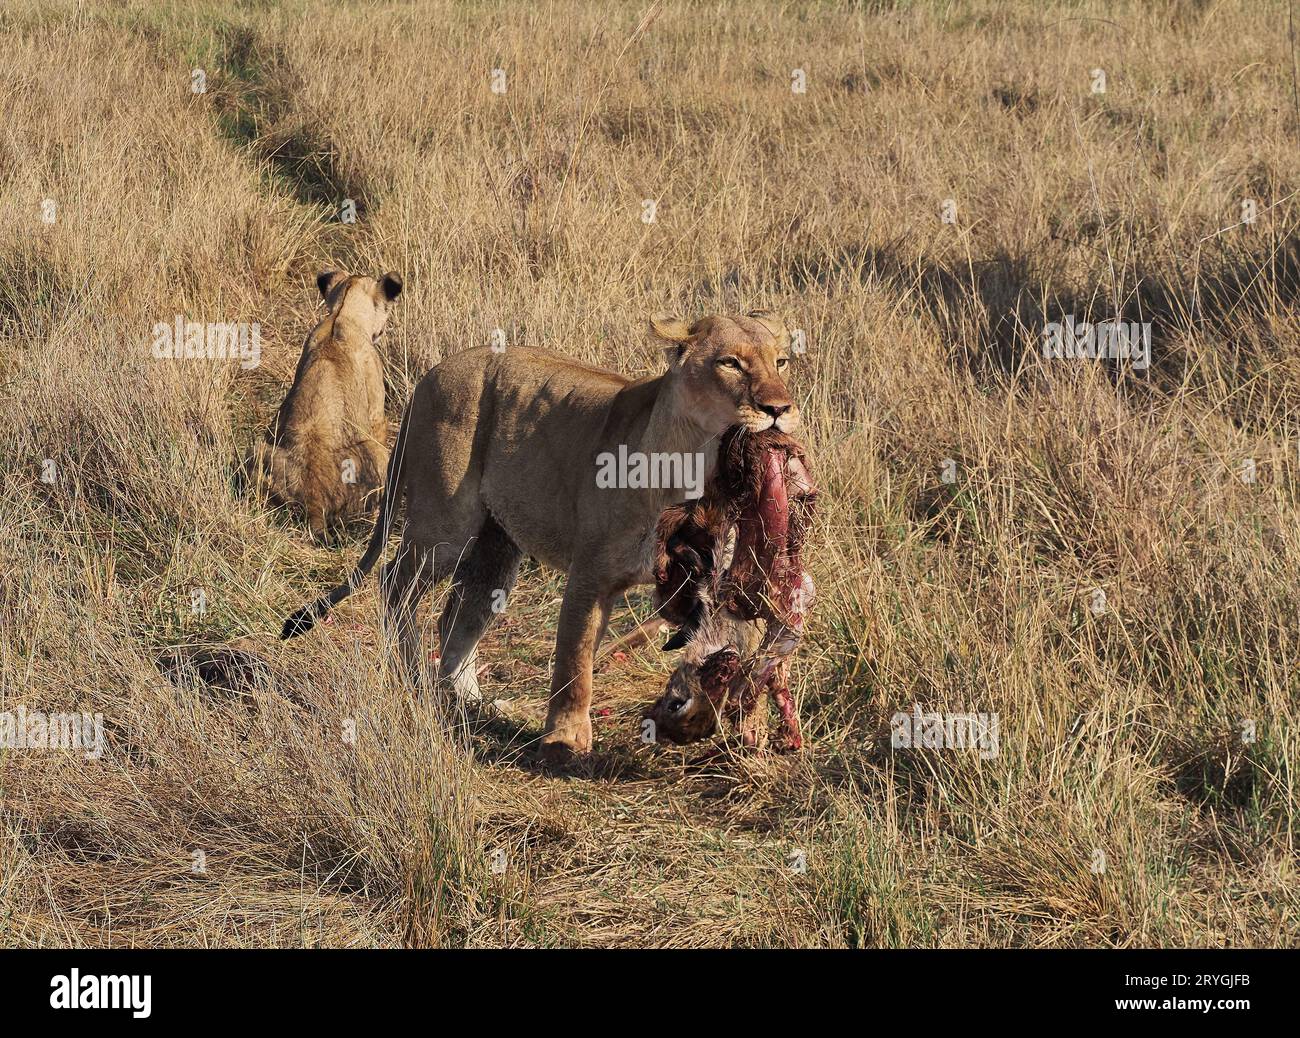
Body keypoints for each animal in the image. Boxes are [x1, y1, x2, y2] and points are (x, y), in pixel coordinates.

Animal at [280, 310, 798, 763]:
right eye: (730, 363)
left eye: (781, 362)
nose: (779, 409)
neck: (698, 466)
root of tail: (431, 375)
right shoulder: (591, 574)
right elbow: (575, 660)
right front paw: (565, 740)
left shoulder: (722, 587)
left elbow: (741, 658)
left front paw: (745, 732)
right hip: (444, 526)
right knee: (395, 585)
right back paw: (410, 676)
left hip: (497, 547)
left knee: (459, 615)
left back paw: (470, 699)